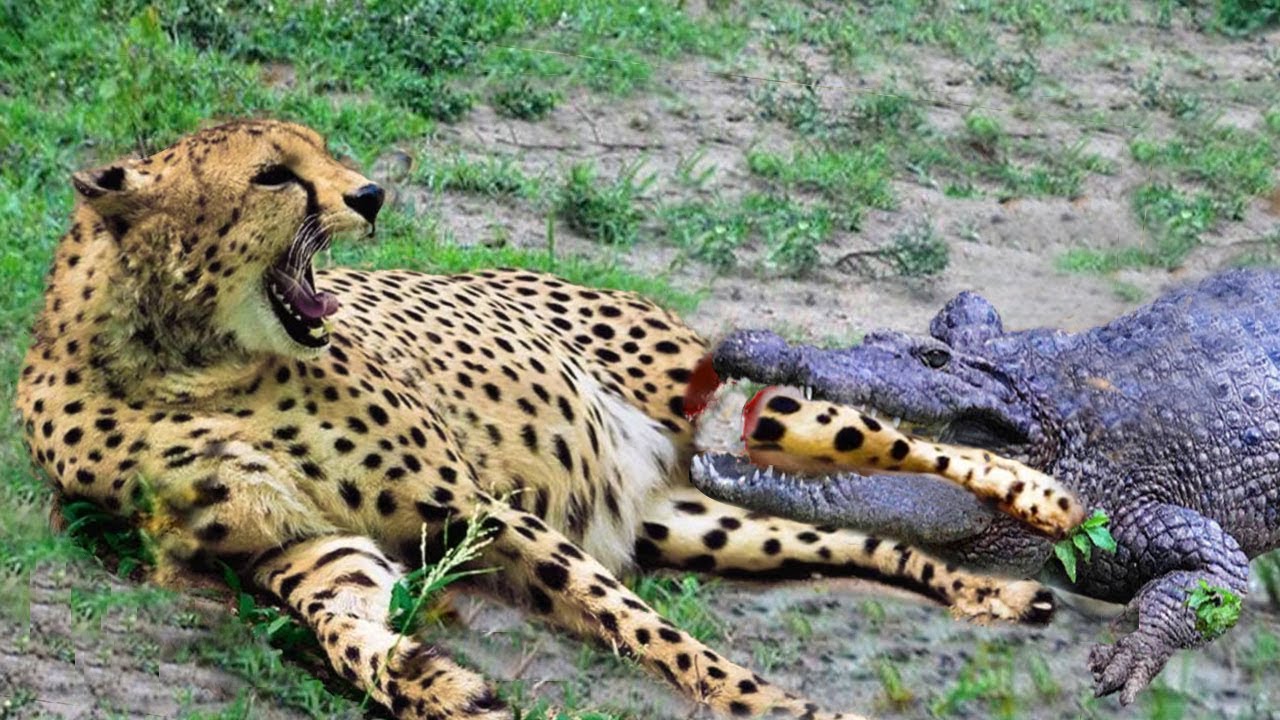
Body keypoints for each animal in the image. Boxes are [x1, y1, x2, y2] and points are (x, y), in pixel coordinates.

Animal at [16, 119, 1065, 720]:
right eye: (274, 173)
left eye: (321, 149)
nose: (370, 193)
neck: (191, 360)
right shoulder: (302, 545)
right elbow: (339, 627)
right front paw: (430, 682)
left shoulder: (479, 506)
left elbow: (649, 629)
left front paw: (775, 705)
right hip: (691, 519)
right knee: (857, 541)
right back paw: (997, 594)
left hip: (732, 402)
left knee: (889, 434)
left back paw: (1048, 501)